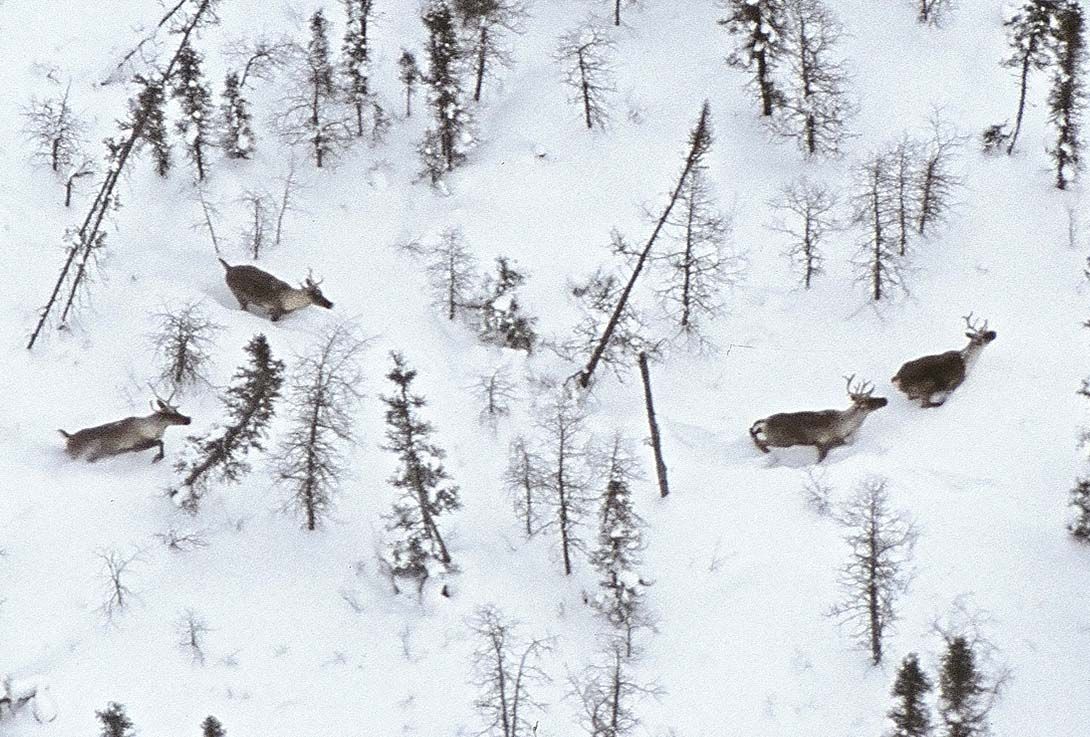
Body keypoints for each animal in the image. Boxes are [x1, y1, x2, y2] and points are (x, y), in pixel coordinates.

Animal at [59, 393, 191, 463]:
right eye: (170, 414)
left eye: (176, 410)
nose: (188, 419)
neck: (152, 428)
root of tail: (69, 437)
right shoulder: (136, 446)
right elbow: (160, 442)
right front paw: (157, 458)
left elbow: (160, 441)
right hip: (82, 455)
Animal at [750, 375, 888, 463]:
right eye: (867, 401)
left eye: (872, 396)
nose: (884, 400)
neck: (845, 426)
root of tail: (764, 422)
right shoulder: (823, 443)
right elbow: (821, 459)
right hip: (780, 440)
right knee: (760, 442)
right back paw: (769, 454)